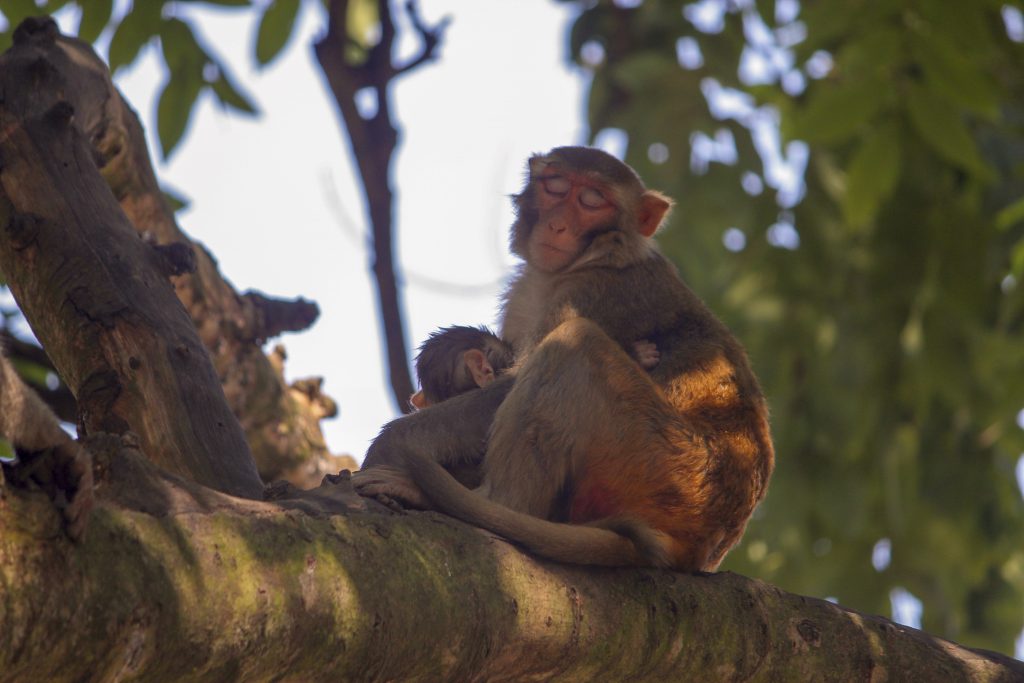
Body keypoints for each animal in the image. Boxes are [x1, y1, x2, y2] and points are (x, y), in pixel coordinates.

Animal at [356, 146, 773, 572]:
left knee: (573, 345)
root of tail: (697, 549)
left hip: (667, 469)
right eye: (555, 187)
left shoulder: (596, 291)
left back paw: (484, 502)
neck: (594, 258)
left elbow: (509, 384)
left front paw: (388, 445)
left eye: (592, 201)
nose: (557, 225)